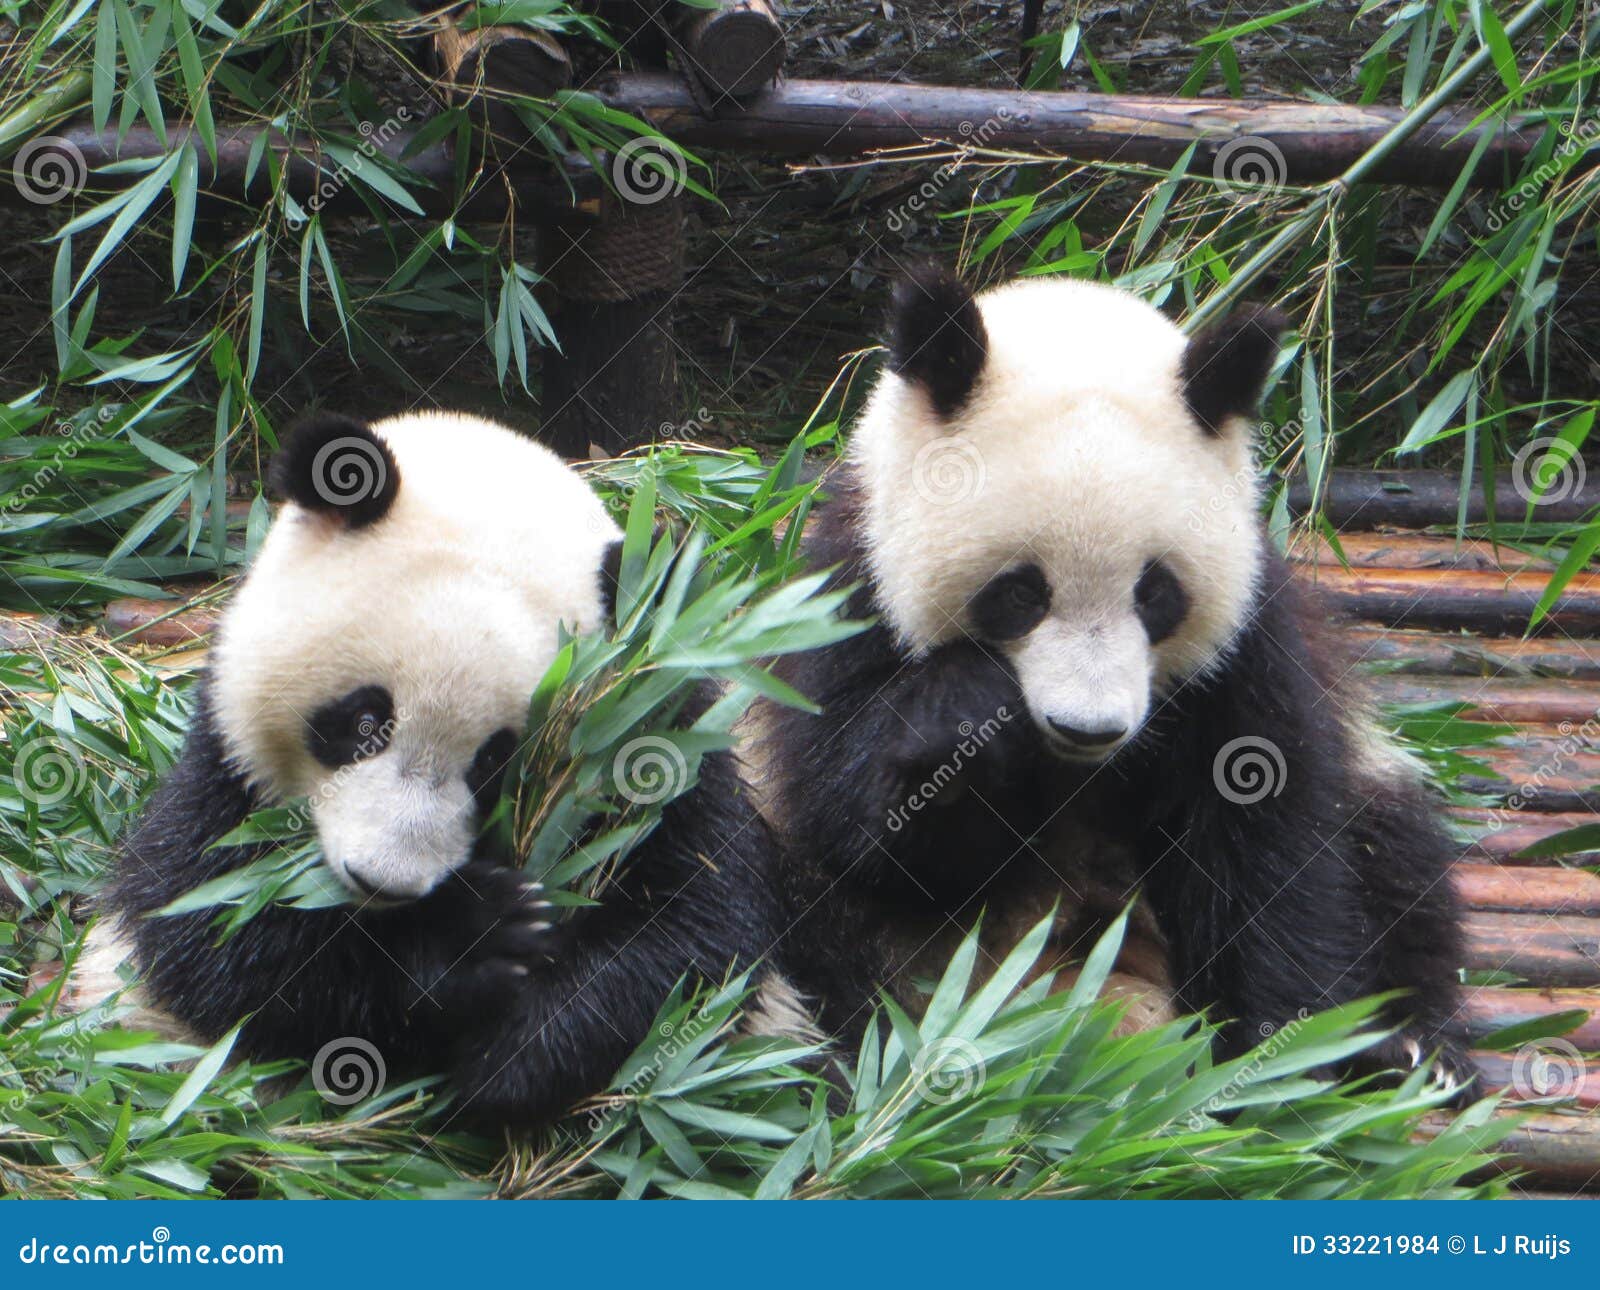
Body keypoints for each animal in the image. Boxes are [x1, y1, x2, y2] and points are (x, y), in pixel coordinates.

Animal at [78, 410, 787, 1128]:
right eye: (366, 723)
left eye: (497, 762)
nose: (382, 881)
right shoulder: (228, 762)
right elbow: (209, 927)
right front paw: (472, 937)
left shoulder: (664, 741)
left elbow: (695, 932)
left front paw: (511, 1054)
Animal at [752, 267, 1474, 1091]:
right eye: (1021, 593)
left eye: (1154, 592)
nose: (1087, 728)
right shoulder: (847, 592)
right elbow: (863, 826)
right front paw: (966, 716)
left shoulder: (1250, 645)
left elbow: (1265, 841)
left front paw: (1277, 1062)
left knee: (1394, 848)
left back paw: (1408, 1048)